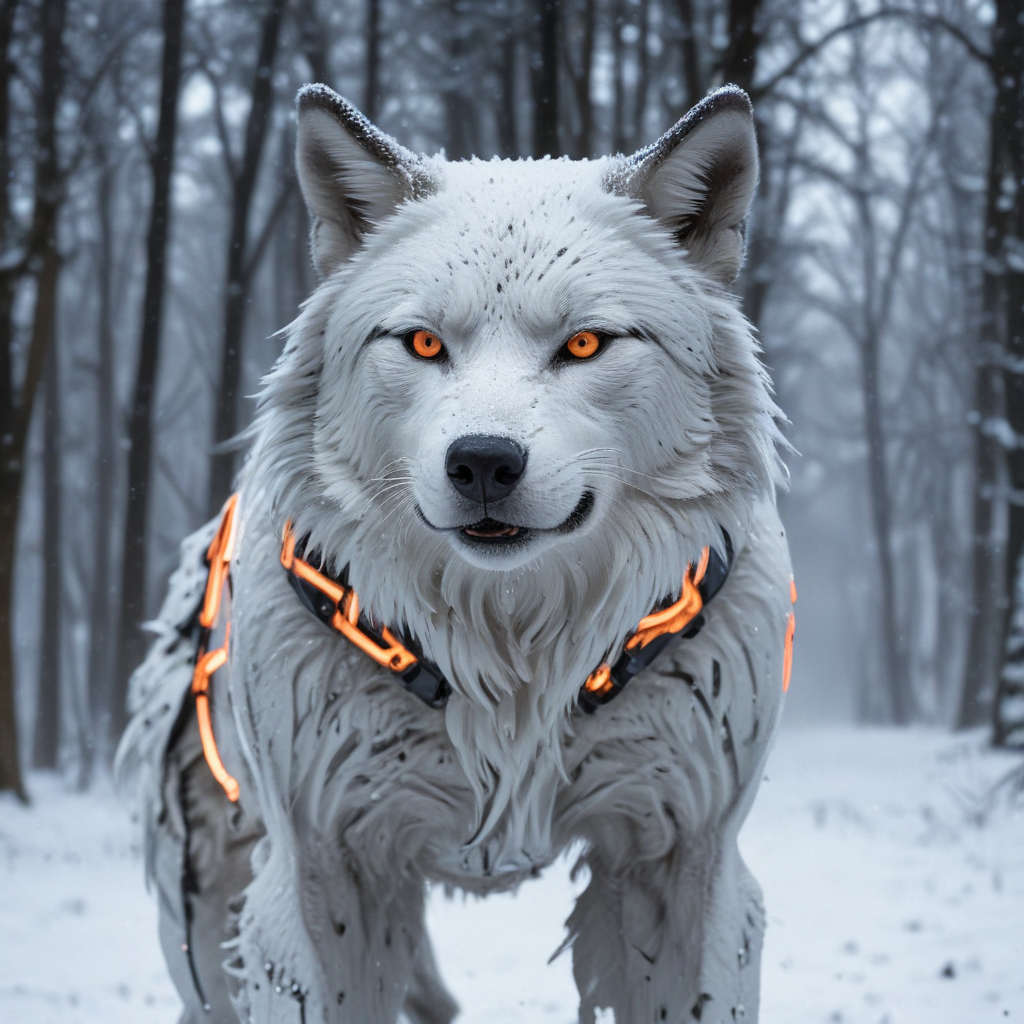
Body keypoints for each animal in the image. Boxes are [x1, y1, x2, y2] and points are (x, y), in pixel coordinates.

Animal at [118, 82, 793, 1024]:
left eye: (585, 343)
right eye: (424, 343)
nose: (482, 462)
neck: (511, 655)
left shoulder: (692, 864)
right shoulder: (318, 880)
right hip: (211, 923)